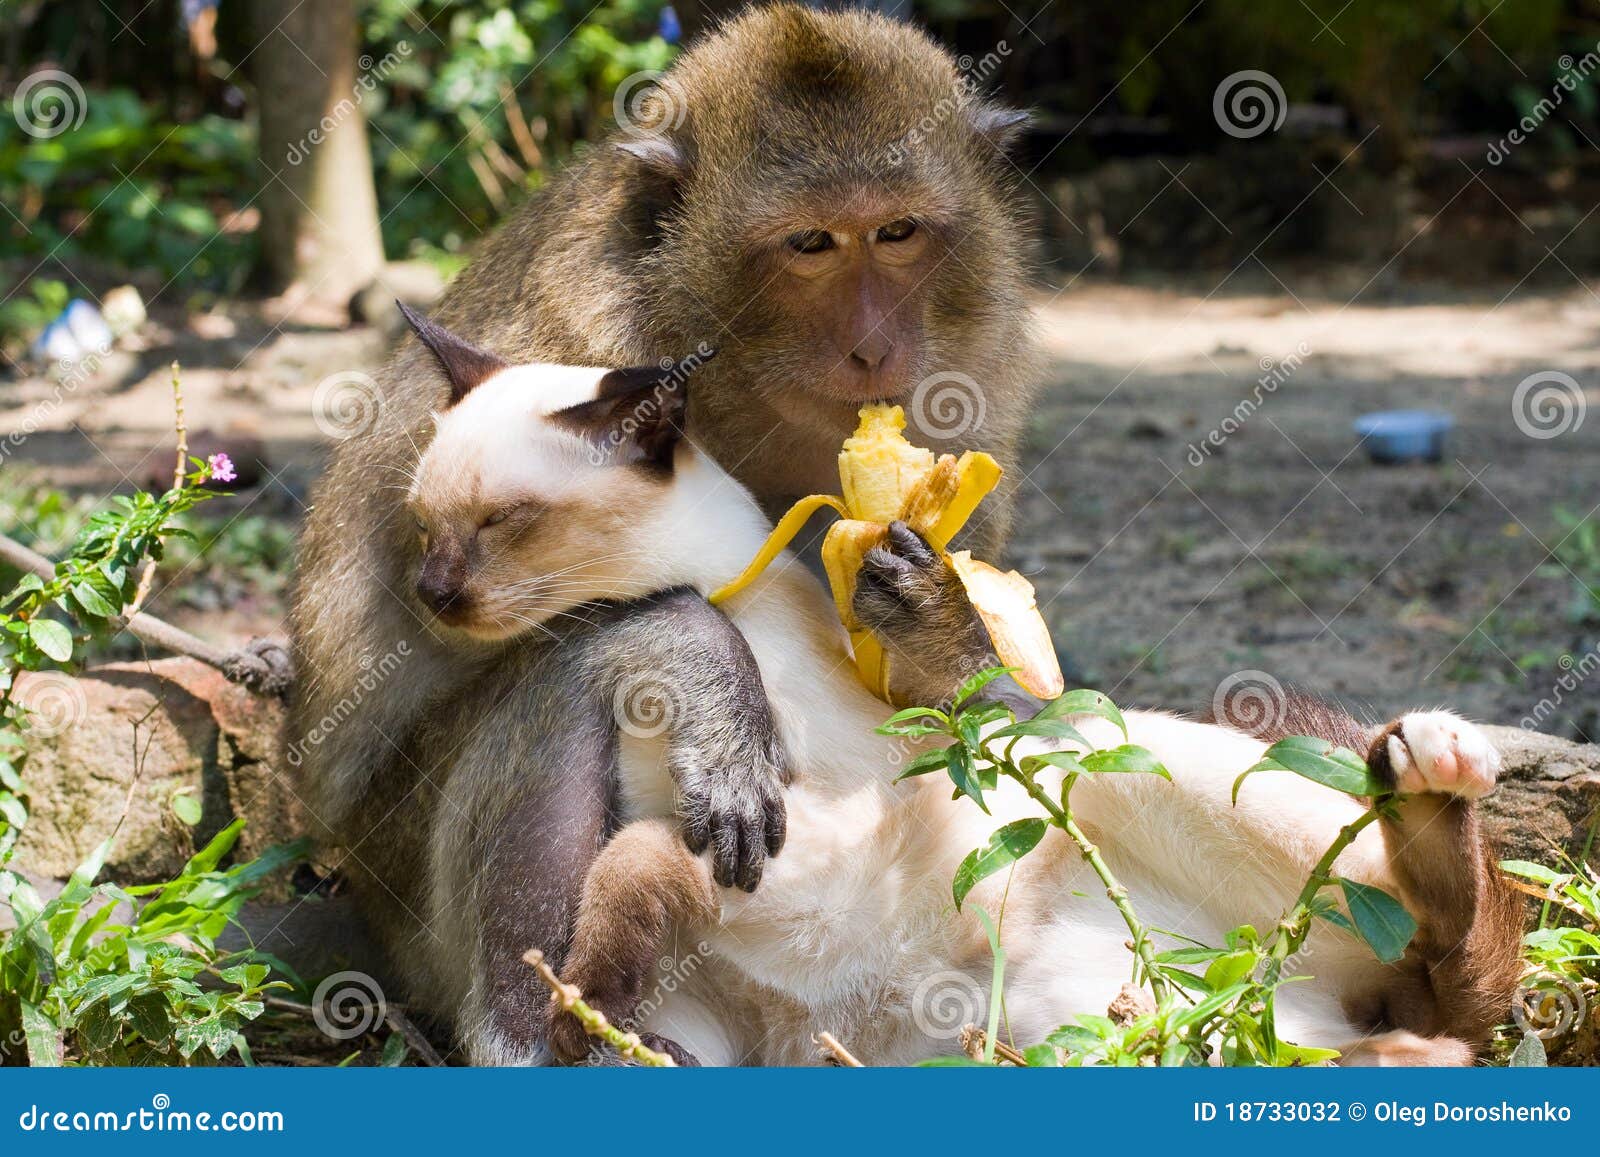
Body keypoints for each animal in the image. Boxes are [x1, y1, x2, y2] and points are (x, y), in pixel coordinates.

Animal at [287, 4, 1040, 1063]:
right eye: (811, 243)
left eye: (896, 232)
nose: (872, 346)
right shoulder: (574, 354)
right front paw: (706, 667)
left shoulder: (970, 388)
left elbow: (937, 718)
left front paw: (932, 612)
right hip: (410, 908)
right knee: (567, 674)